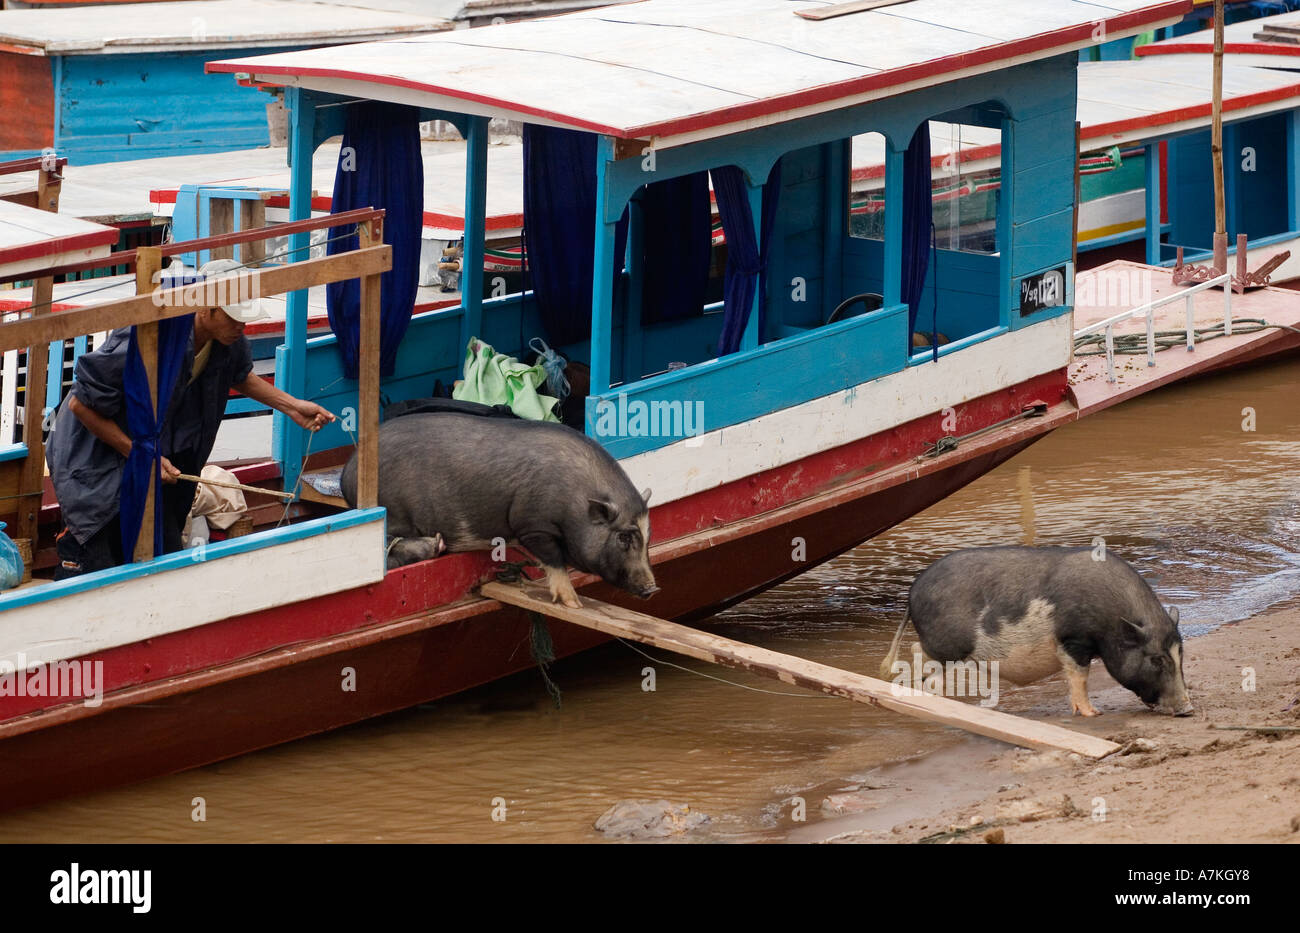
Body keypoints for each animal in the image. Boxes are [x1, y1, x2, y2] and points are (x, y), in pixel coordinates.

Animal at [340, 412, 658, 608]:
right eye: (624, 537)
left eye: (648, 536)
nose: (653, 589)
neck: (575, 502)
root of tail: (347, 472)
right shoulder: (532, 523)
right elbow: (553, 558)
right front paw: (573, 603)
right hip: (393, 514)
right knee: (391, 549)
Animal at [879, 546, 1193, 717]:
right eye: (1156, 659)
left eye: (1181, 655)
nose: (1188, 709)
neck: (1111, 620)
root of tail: (912, 592)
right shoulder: (1074, 639)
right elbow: (1079, 677)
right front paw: (1093, 713)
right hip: (943, 644)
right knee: (918, 654)